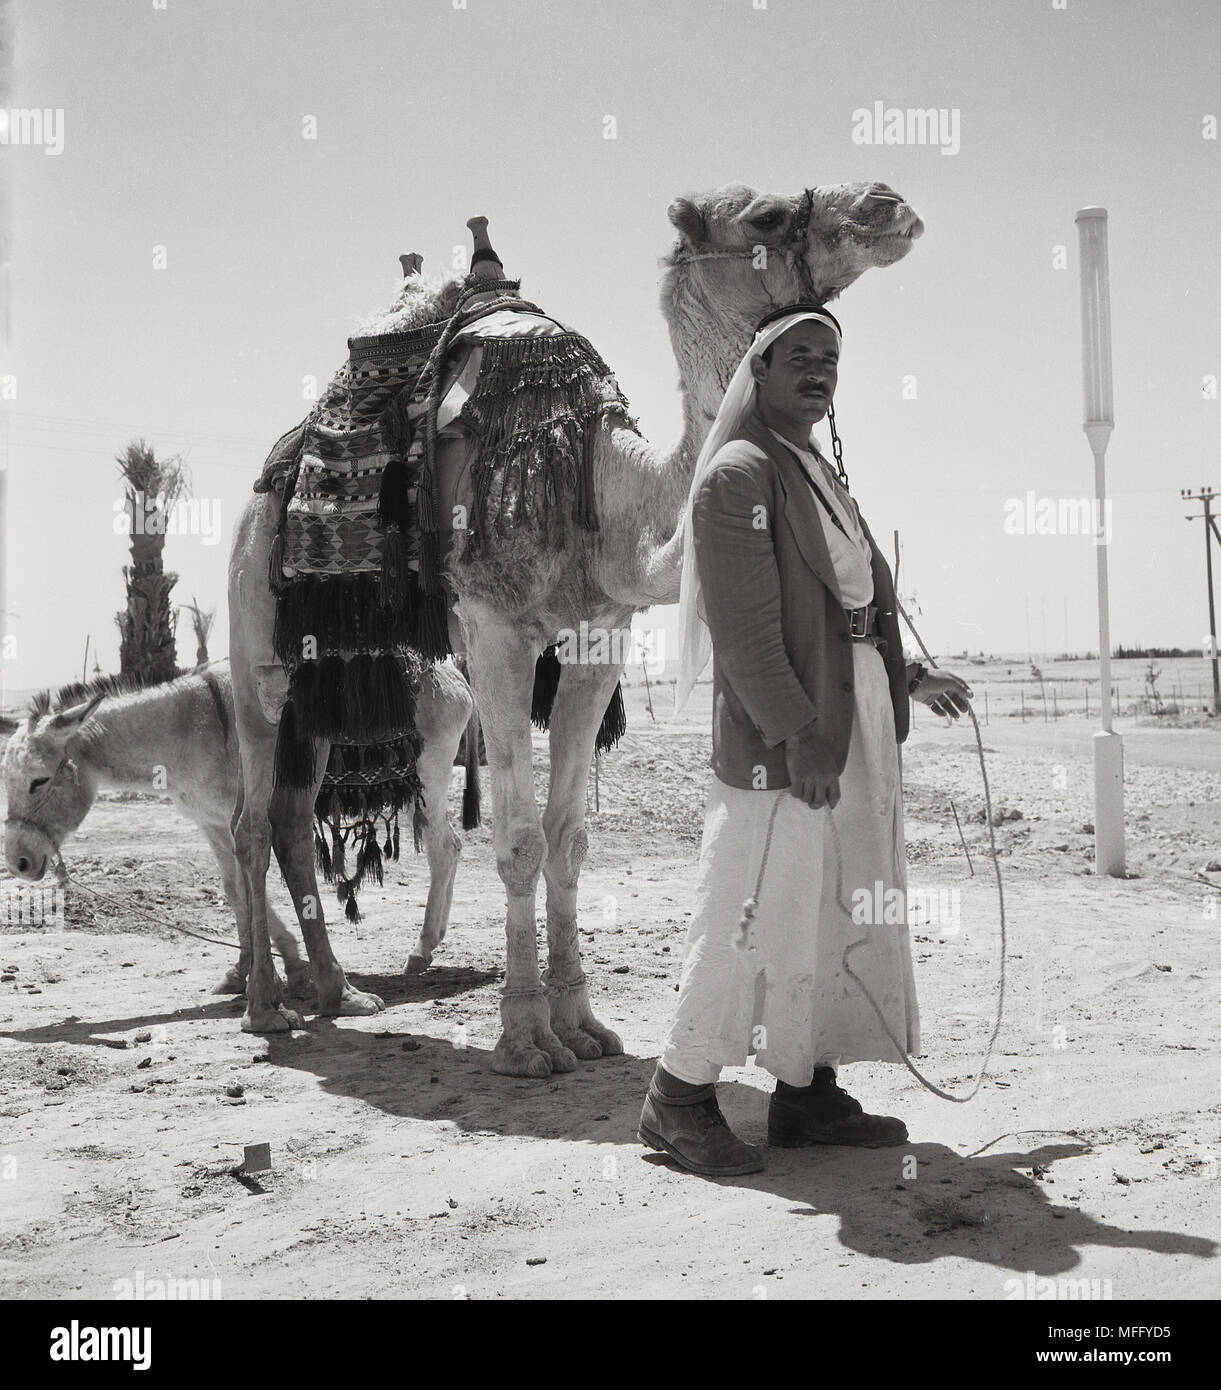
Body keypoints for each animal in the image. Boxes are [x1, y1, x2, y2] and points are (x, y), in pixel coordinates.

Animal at [2, 658, 474, 993]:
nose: (18, 863)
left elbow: (250, 885)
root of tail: (450, 669)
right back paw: (432, 942)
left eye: (38, 781)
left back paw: (421, 949)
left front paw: (288, 967)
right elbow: (234, 890)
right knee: (450, 846)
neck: (184, 728)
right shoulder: (211, 822)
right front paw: (245, 969)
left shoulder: (239, 816)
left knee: (444, 848)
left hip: (429, 775)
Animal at [228, 181, 923, 1072]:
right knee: (251, 819)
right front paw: (524, 1036)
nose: (886, 203)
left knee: (287, 815)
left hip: (330, 673)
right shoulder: (495, 632)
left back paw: (337, 992)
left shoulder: (600, 637)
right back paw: (264, 1005)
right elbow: (520, 839)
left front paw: (583, 1023)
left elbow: (568, 838)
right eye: (765, 217)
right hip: (257, 646)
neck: (598, 476)